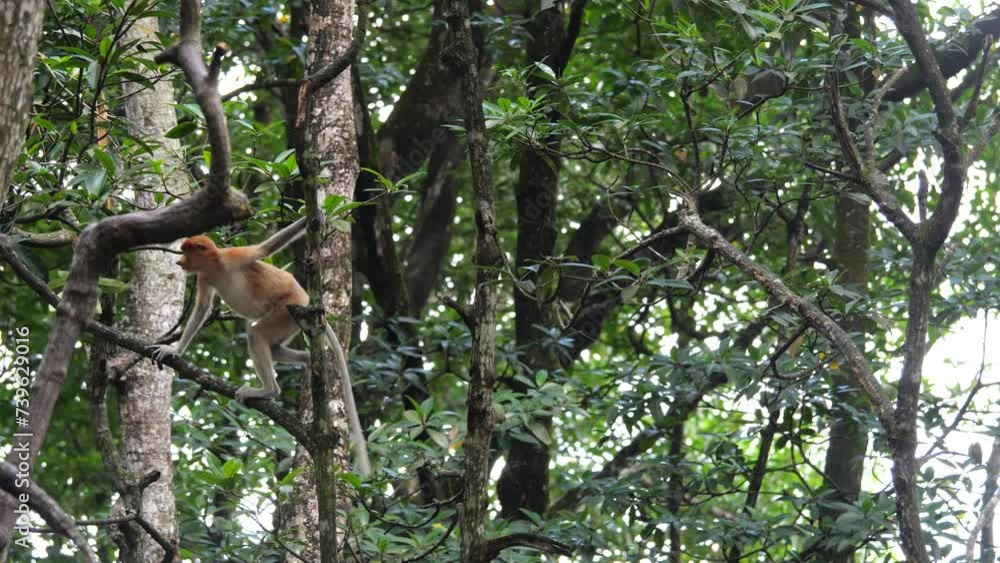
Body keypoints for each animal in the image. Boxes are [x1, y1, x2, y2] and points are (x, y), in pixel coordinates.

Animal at [149, 217, 371, 476]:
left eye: (186, 251)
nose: (179, 261)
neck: (215, 265)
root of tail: (306, 299)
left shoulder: (233, 256)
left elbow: (265, 249)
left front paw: (314, 216)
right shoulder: (205, 277)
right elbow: (202, 309)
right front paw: (173, 350)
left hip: (285, 309)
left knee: (256, 335)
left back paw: (268, 390)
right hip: (290, 320)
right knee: (272, 347)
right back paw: (310, 361)